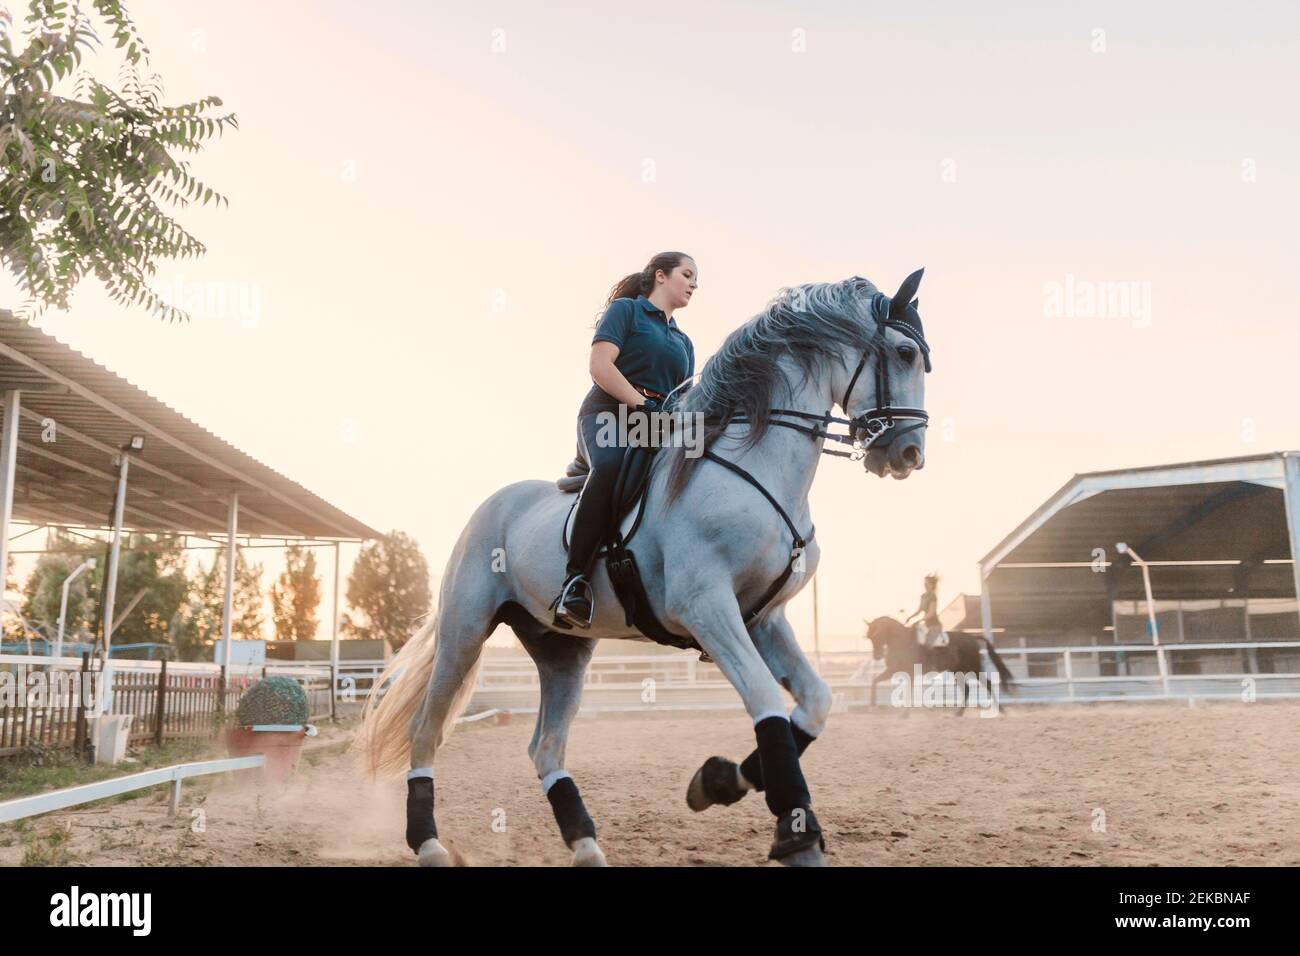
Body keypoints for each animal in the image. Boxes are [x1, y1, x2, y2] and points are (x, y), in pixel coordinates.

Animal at [357, 270, 932, 867]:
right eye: (906, 352)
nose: (909, 454)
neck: (753, 470)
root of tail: (488, 508)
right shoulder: (706, 608)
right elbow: (767, 700)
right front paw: (794, 835)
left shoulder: (763, 619)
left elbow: (815, 703)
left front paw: (716, 783)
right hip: (465, 632)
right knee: (426, 731)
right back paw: (428, 844)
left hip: (562, 651)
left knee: (545, 747)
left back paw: (586, 846)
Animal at [864, 616, 1015, 715]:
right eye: (869, 637)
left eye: (877, 635)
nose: (877, 656)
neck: (901, 641)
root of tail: (972, 637)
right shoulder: (893, 670)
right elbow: (874, 681)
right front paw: (872, 705)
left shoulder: (907, 672)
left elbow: (908, 692)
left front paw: (904, 714)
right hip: (957, 671)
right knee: (966, 688)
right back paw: (959, 713)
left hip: (973, 669)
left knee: (987, 683)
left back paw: (1001, 710)